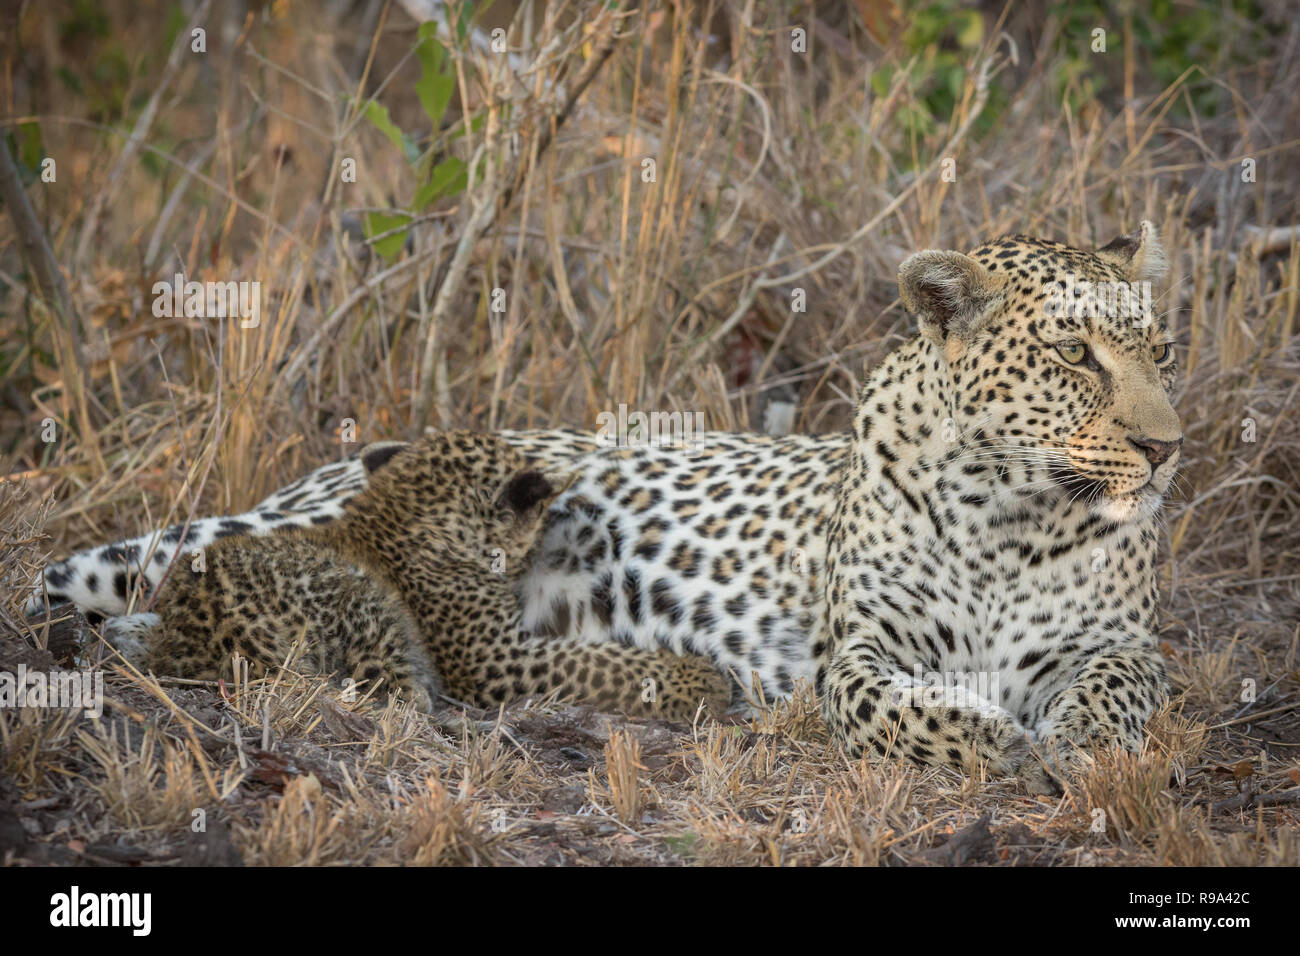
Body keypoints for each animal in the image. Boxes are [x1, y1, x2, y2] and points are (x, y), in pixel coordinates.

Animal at [100, 431, 733, 722]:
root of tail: (211, 641)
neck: (400, 514)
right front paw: (700, 680)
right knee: (392, 695)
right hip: (359, 601)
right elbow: (598, 662)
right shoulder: (495, 657)